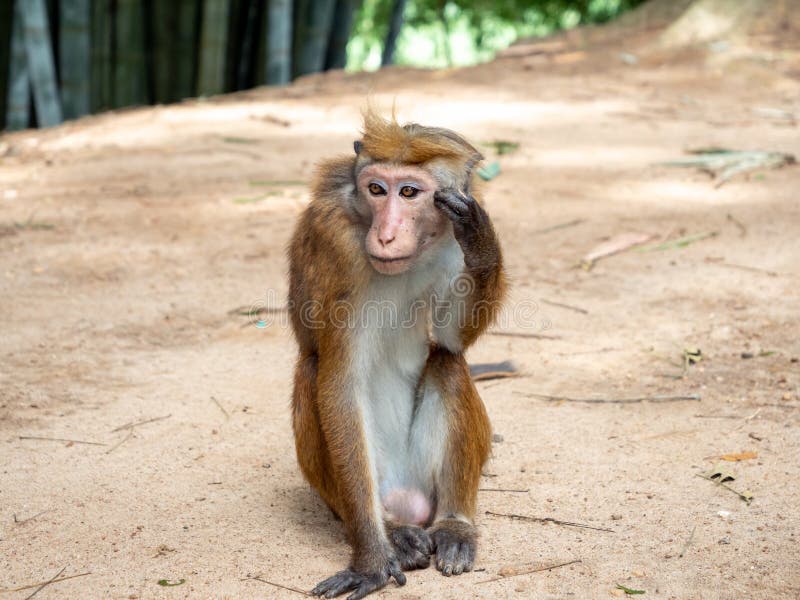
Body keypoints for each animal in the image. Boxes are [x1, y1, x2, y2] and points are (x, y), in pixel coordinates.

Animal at [288, 109, 506, 600]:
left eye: (408, 192)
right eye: (376, 189)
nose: (386, 236)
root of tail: (406, 499)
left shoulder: (452, 237)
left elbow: (451, 337)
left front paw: (483, 242)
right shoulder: (336, 246)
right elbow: (339, 383)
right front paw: (372, 560)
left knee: (447, 364)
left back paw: (454, 524)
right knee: (312, 370)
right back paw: (394, 533)